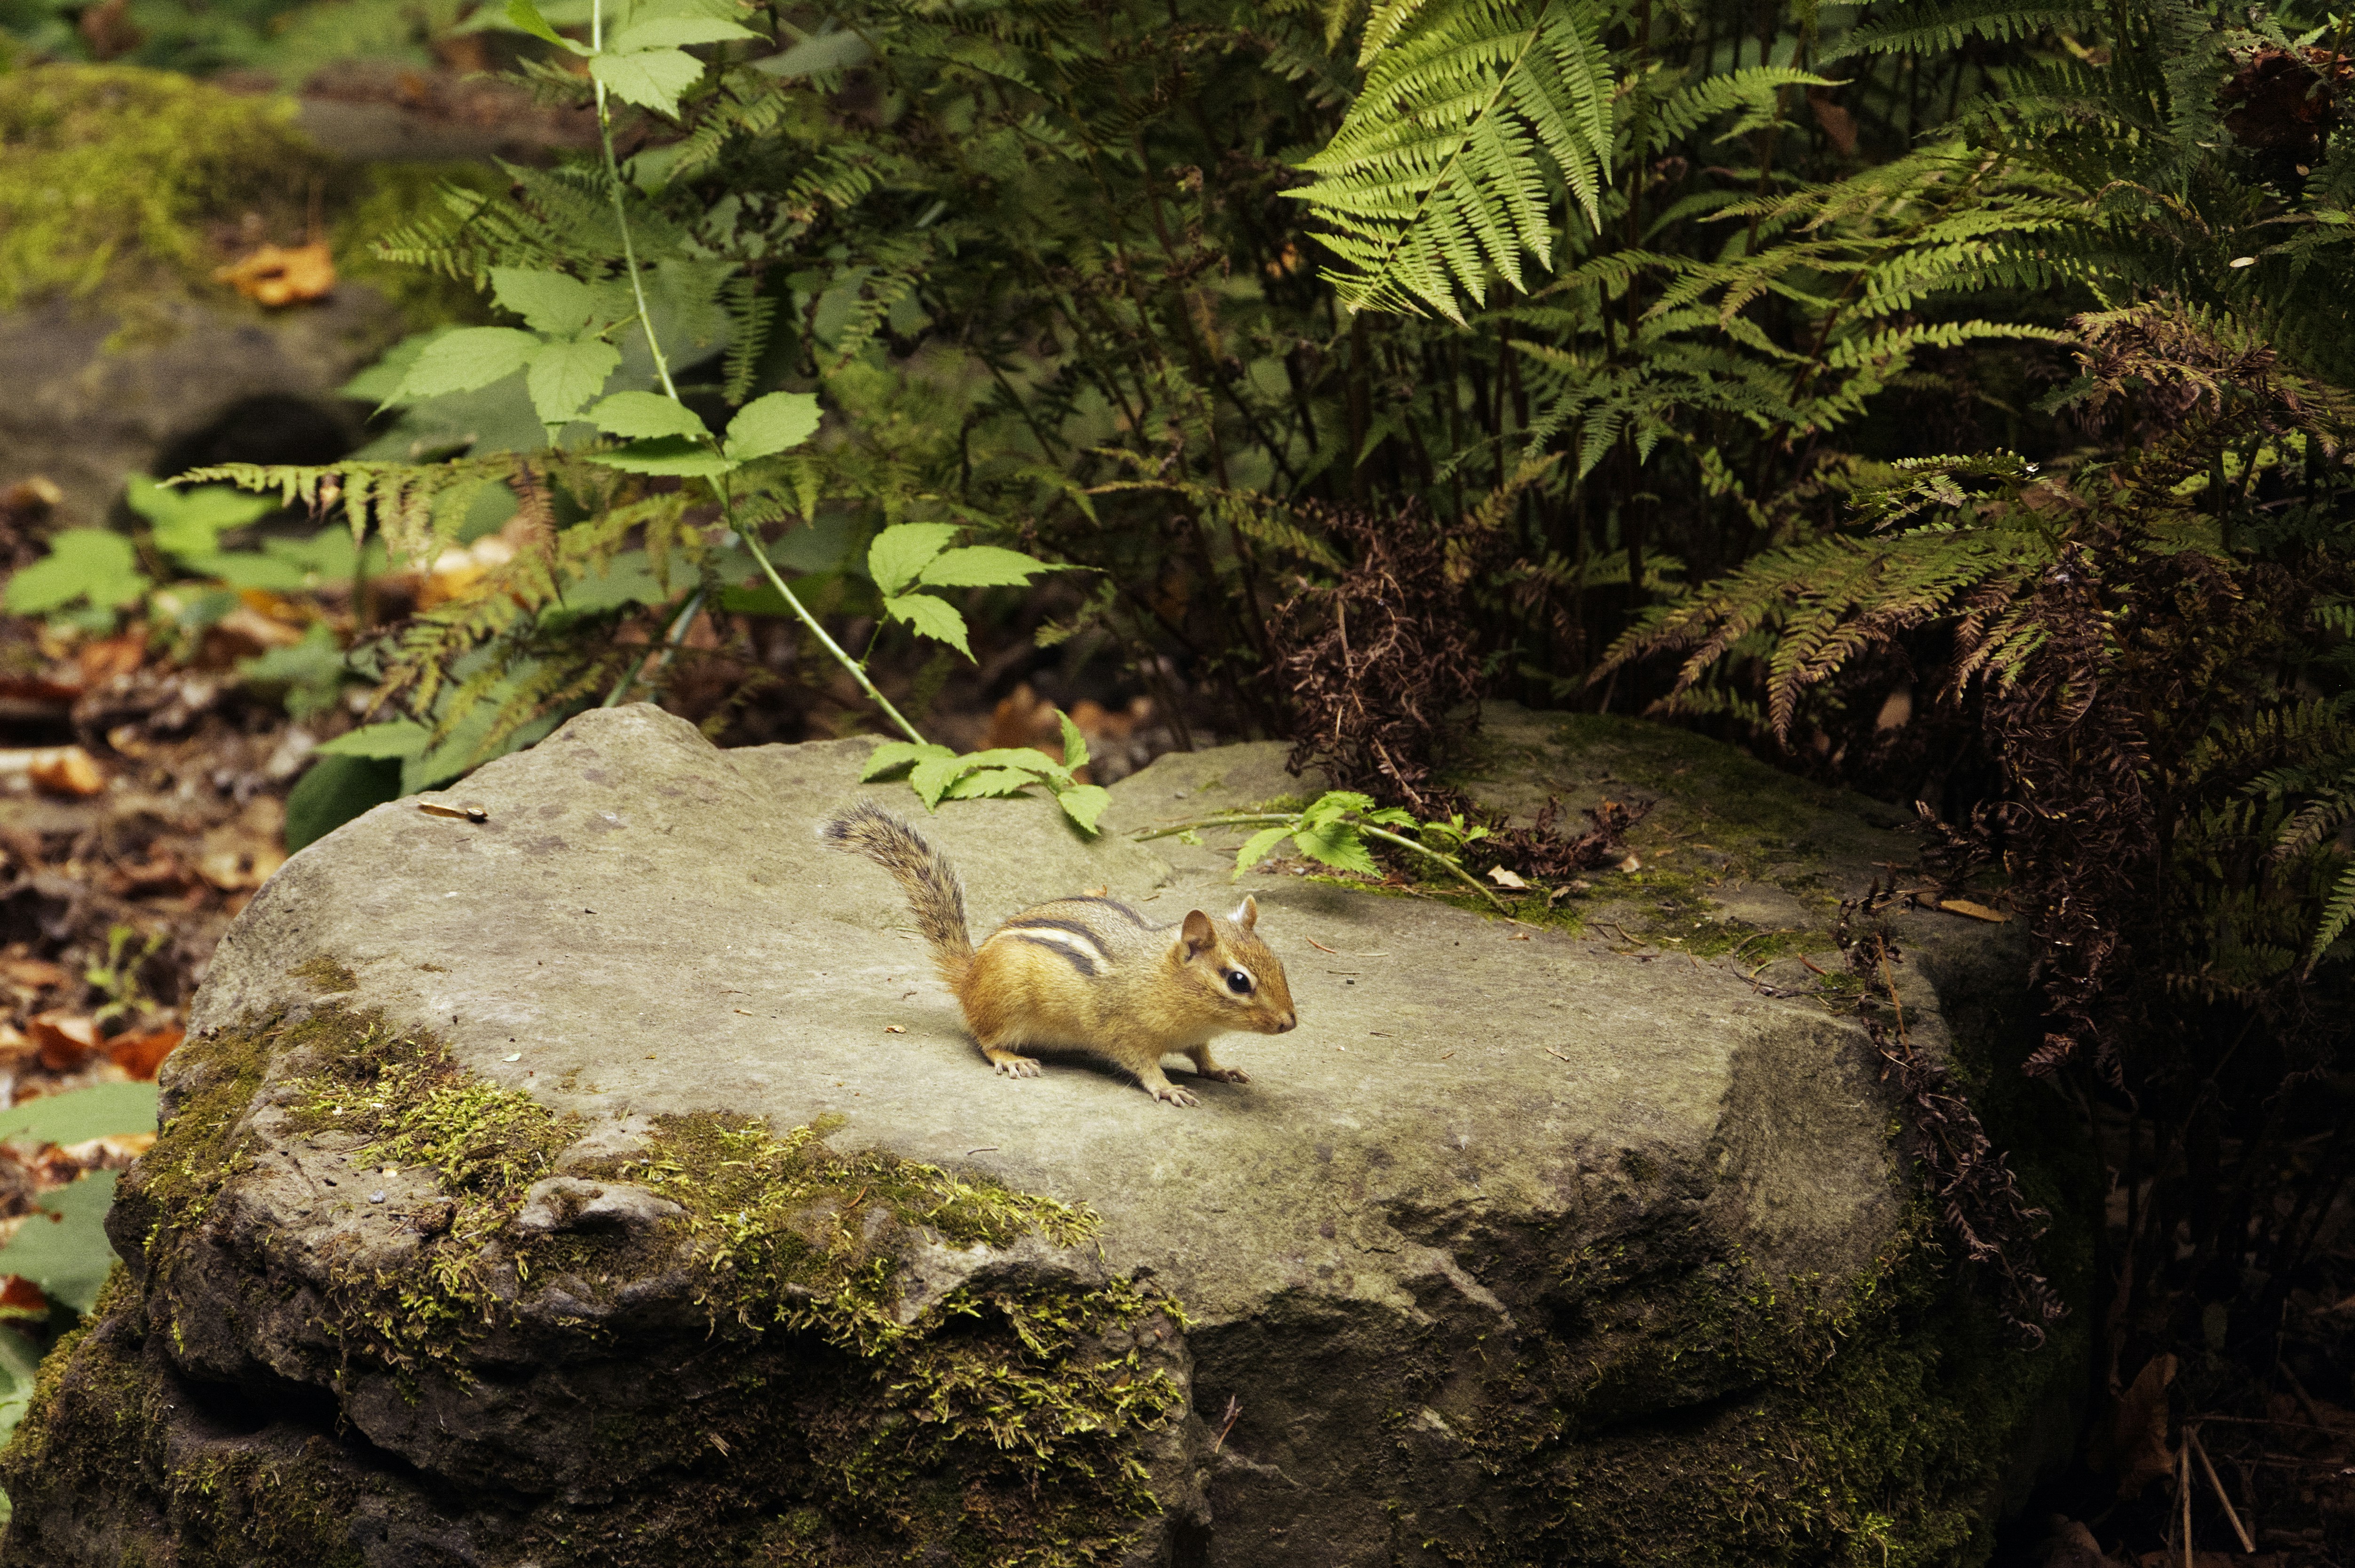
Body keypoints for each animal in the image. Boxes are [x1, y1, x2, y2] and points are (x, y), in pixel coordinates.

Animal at [822, 800, 1298, 1105]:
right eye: (1238, 981)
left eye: (1281, 964)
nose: (1290, 1023)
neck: (1160, 977)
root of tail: (971, 974)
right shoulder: (1123, 1030)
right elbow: (1141, 1063)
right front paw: (1166, 1087)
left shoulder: (1195, 1038)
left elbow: (1203, 1056)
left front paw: (1222, 1069)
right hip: (1007, 1003)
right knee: (985, 1040)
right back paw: (1013, 1060)